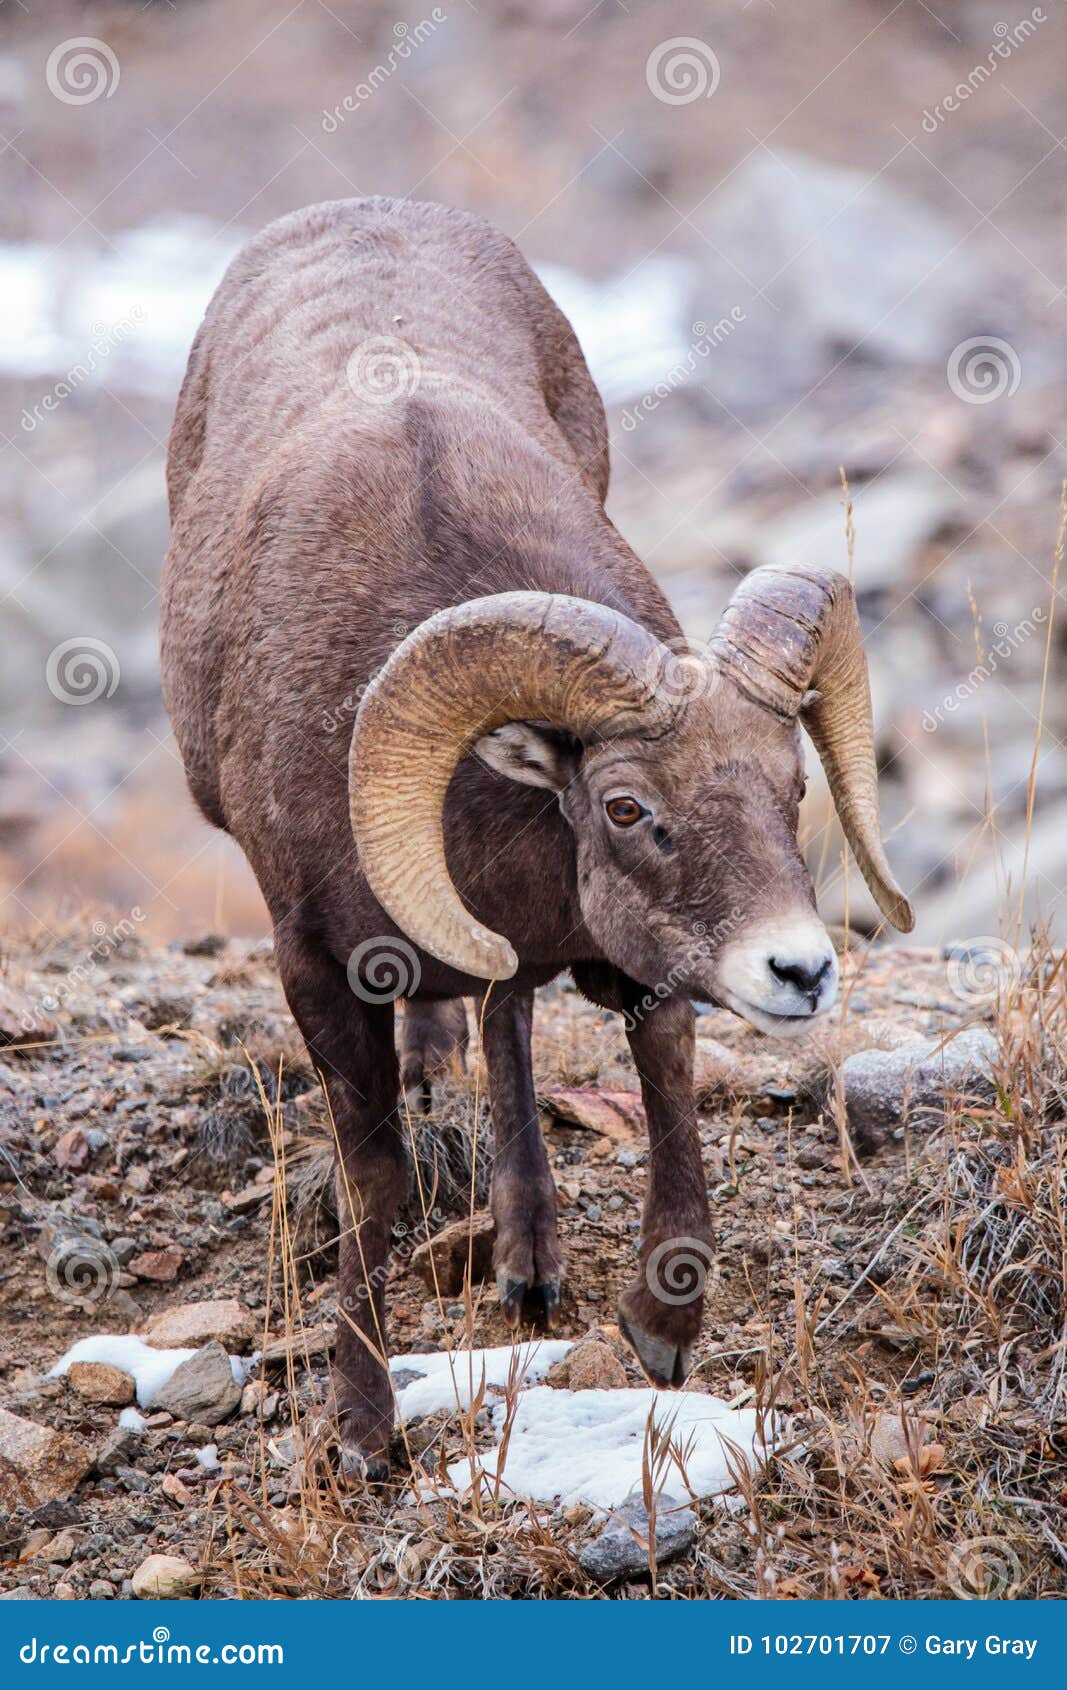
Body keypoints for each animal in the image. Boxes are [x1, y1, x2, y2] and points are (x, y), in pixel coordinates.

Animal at [160, 197, 913, 1479]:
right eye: (624, 807)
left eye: (791, 787)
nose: (800, 970)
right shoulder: (315, 967)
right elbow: (377, 1183)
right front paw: (360, 1432)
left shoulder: (634, 969)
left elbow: (664, 1089)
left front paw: (660, 1327)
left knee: (506, 1012)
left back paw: (527, 1262)